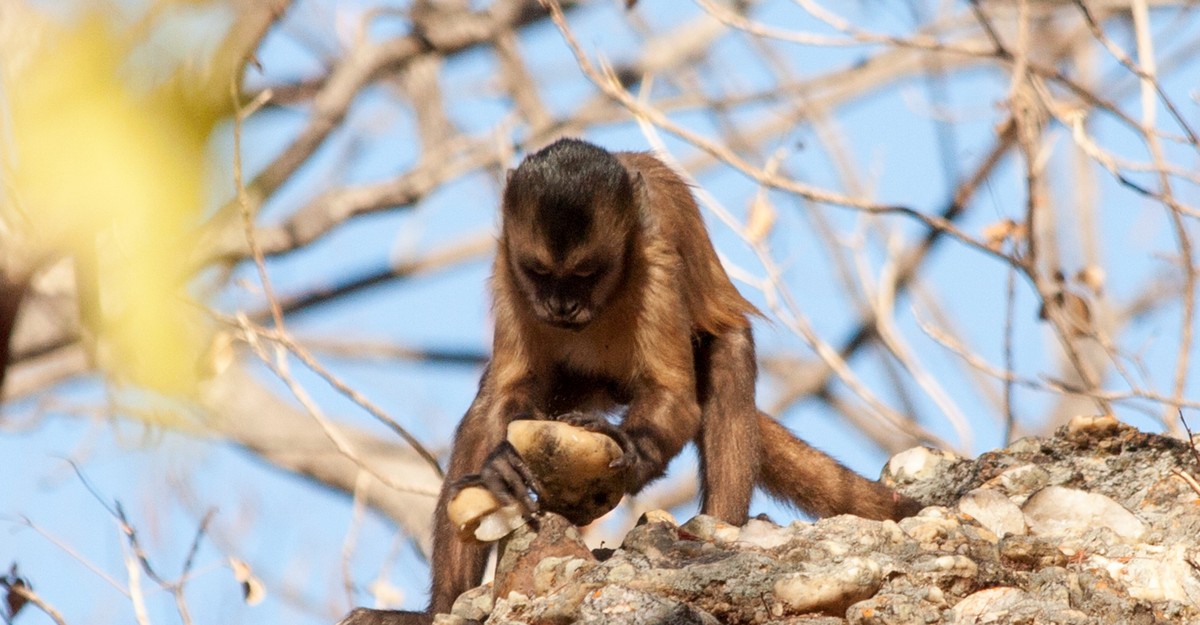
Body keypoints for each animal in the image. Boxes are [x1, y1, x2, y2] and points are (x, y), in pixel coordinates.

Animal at [338, 138, 920, 625]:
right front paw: (501, 464)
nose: (561, 305)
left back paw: (718, 528)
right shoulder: (507, 262)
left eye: (586, 274)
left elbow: (675, 399)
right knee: (489, 407)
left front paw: (629, 447)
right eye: (541, 273)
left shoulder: (656, 254)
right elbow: (503, 397)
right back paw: (439, 609)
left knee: (726, 353)